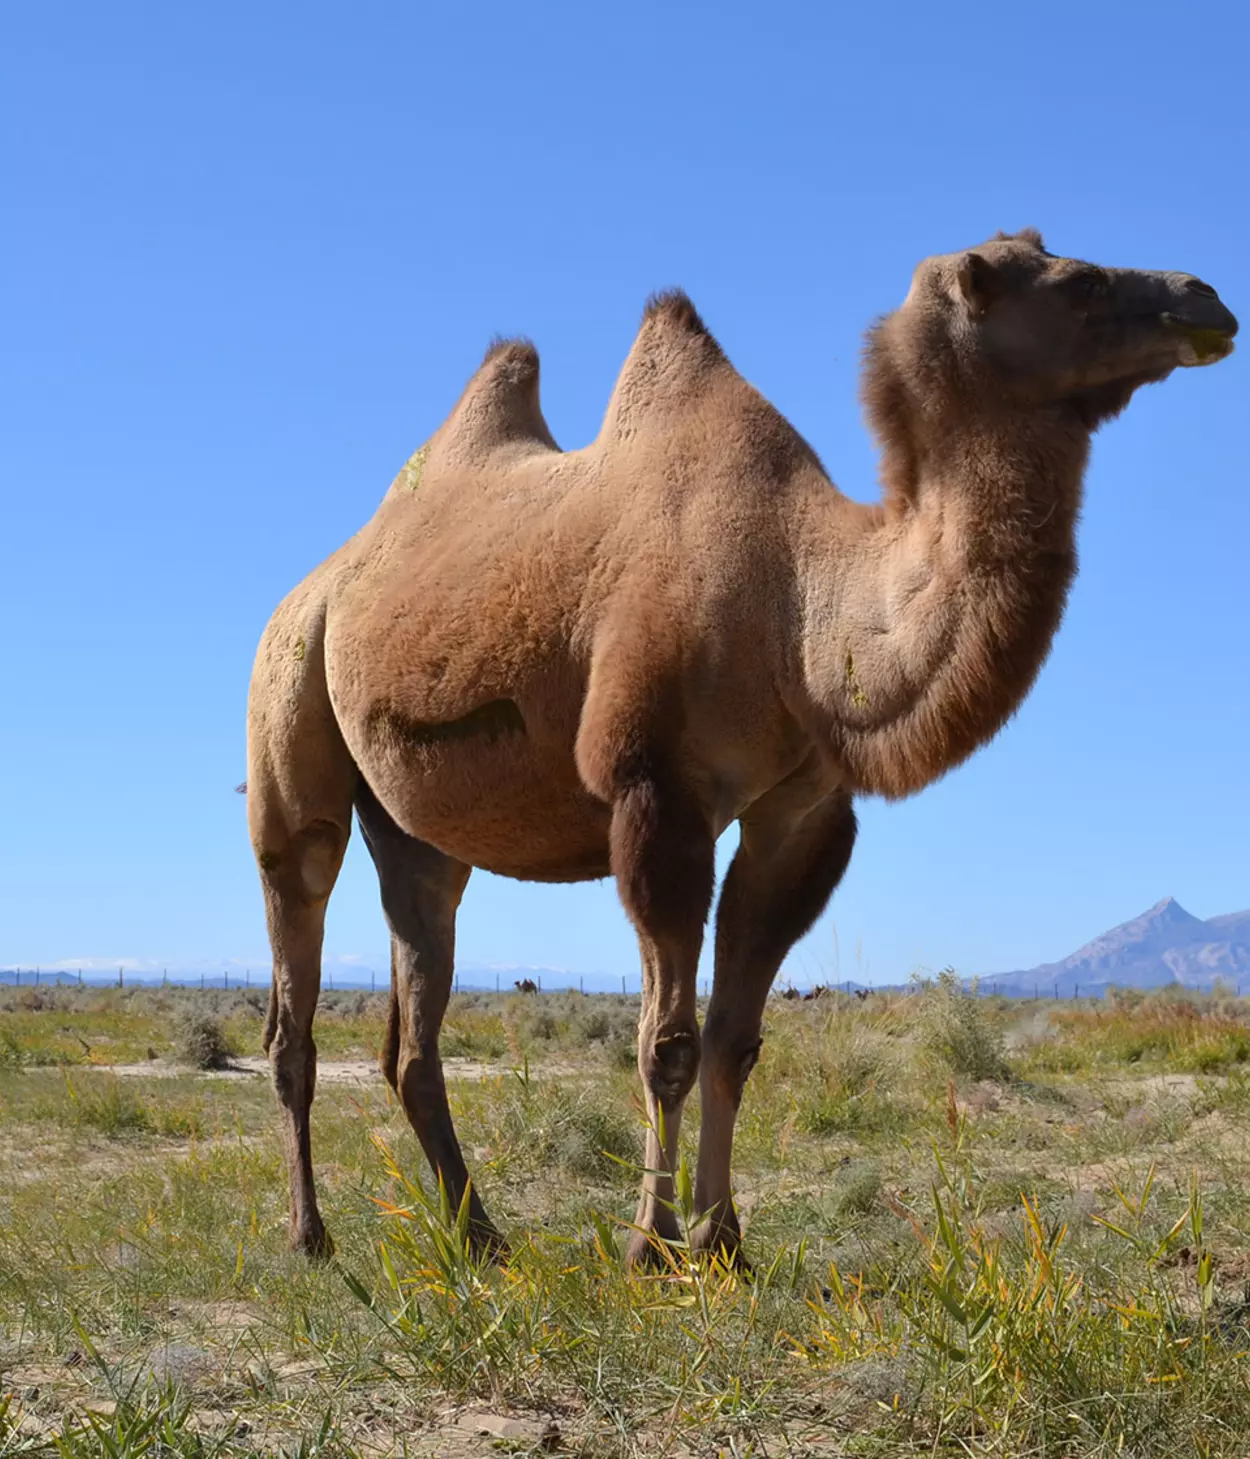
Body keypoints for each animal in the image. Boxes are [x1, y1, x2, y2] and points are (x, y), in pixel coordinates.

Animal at [245, 229, 1236, 1266]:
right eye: (1078, 285)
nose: (1205, 297)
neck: (797, 597)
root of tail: (319, 581)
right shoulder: (657, 792)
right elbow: (666, 1042)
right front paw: (650, 1245)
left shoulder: (800, 814)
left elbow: (735, 1037)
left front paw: (724, 1240)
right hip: (288, 709)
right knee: (295, 970)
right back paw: (310, 1235)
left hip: (416, 829)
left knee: (413, 1018)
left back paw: (482, 1236)